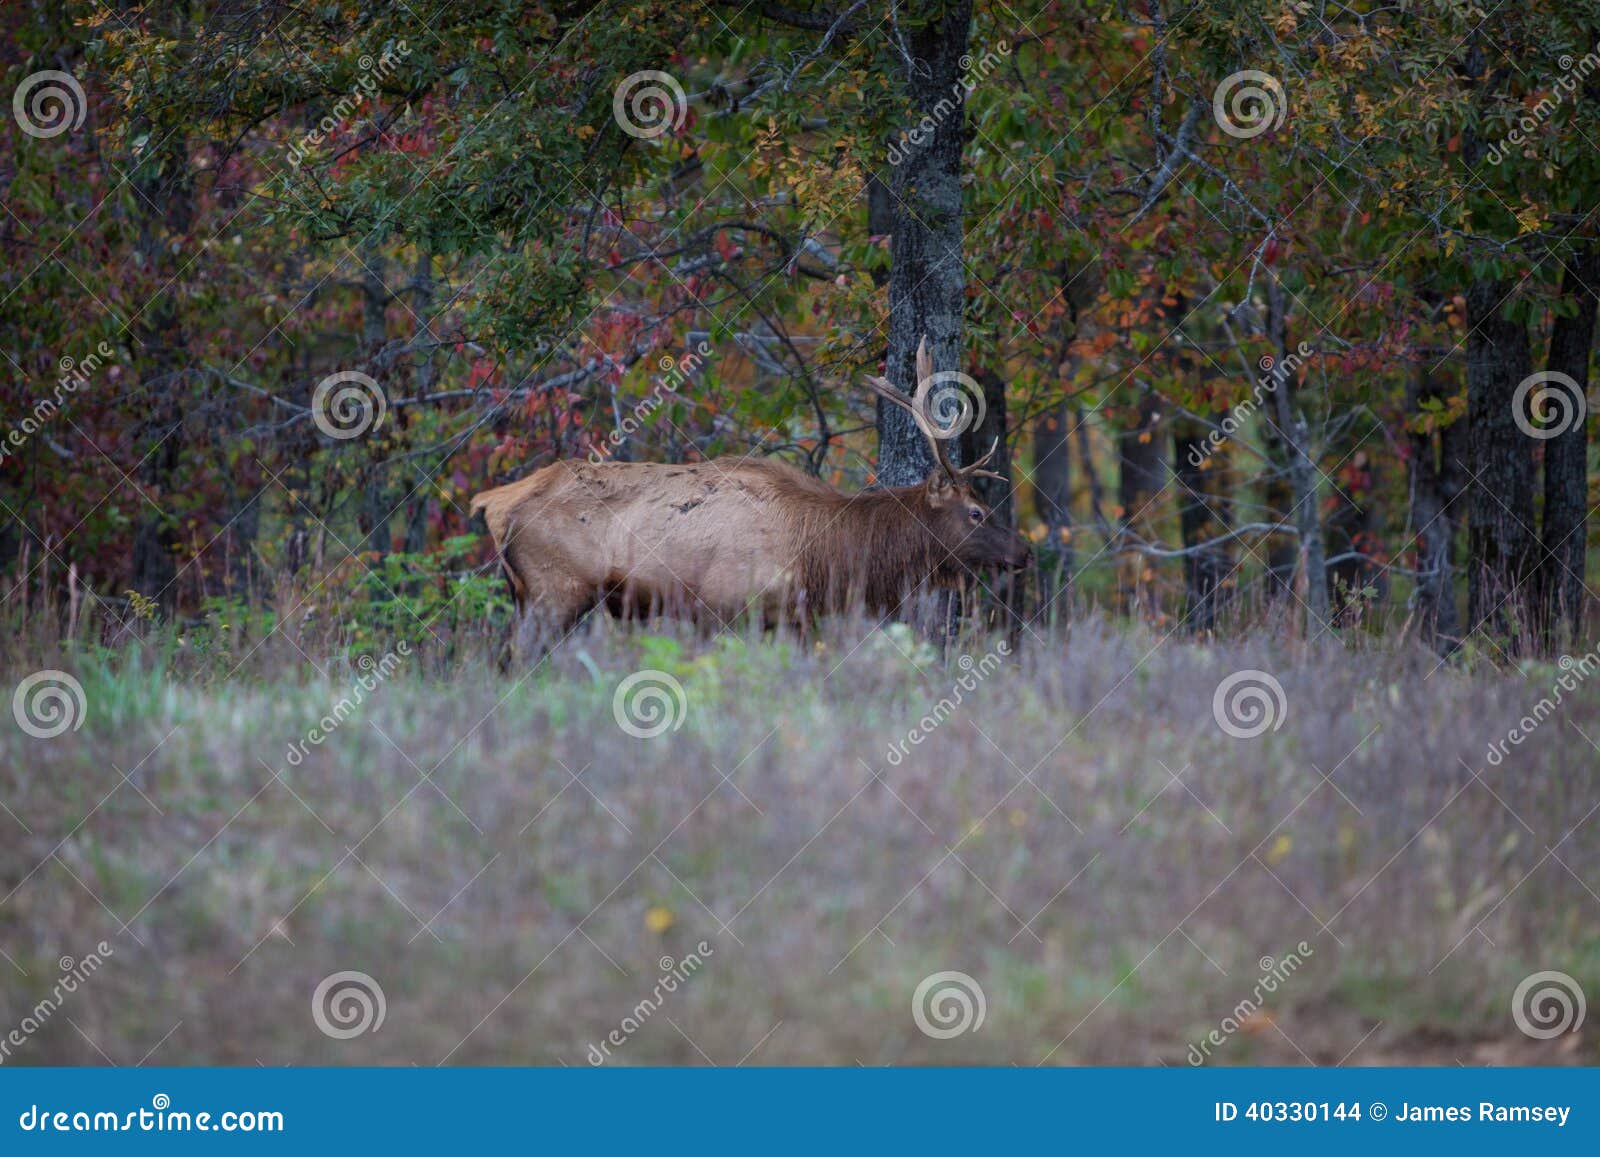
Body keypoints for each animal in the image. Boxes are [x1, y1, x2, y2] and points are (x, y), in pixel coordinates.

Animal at [470, 339, 1030, 653]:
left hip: (530, 596)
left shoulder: (796, 618)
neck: (822, 555)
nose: (1024, 550)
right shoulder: (731, 606)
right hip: (554, 590)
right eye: (976, 511)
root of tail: (492, 503)